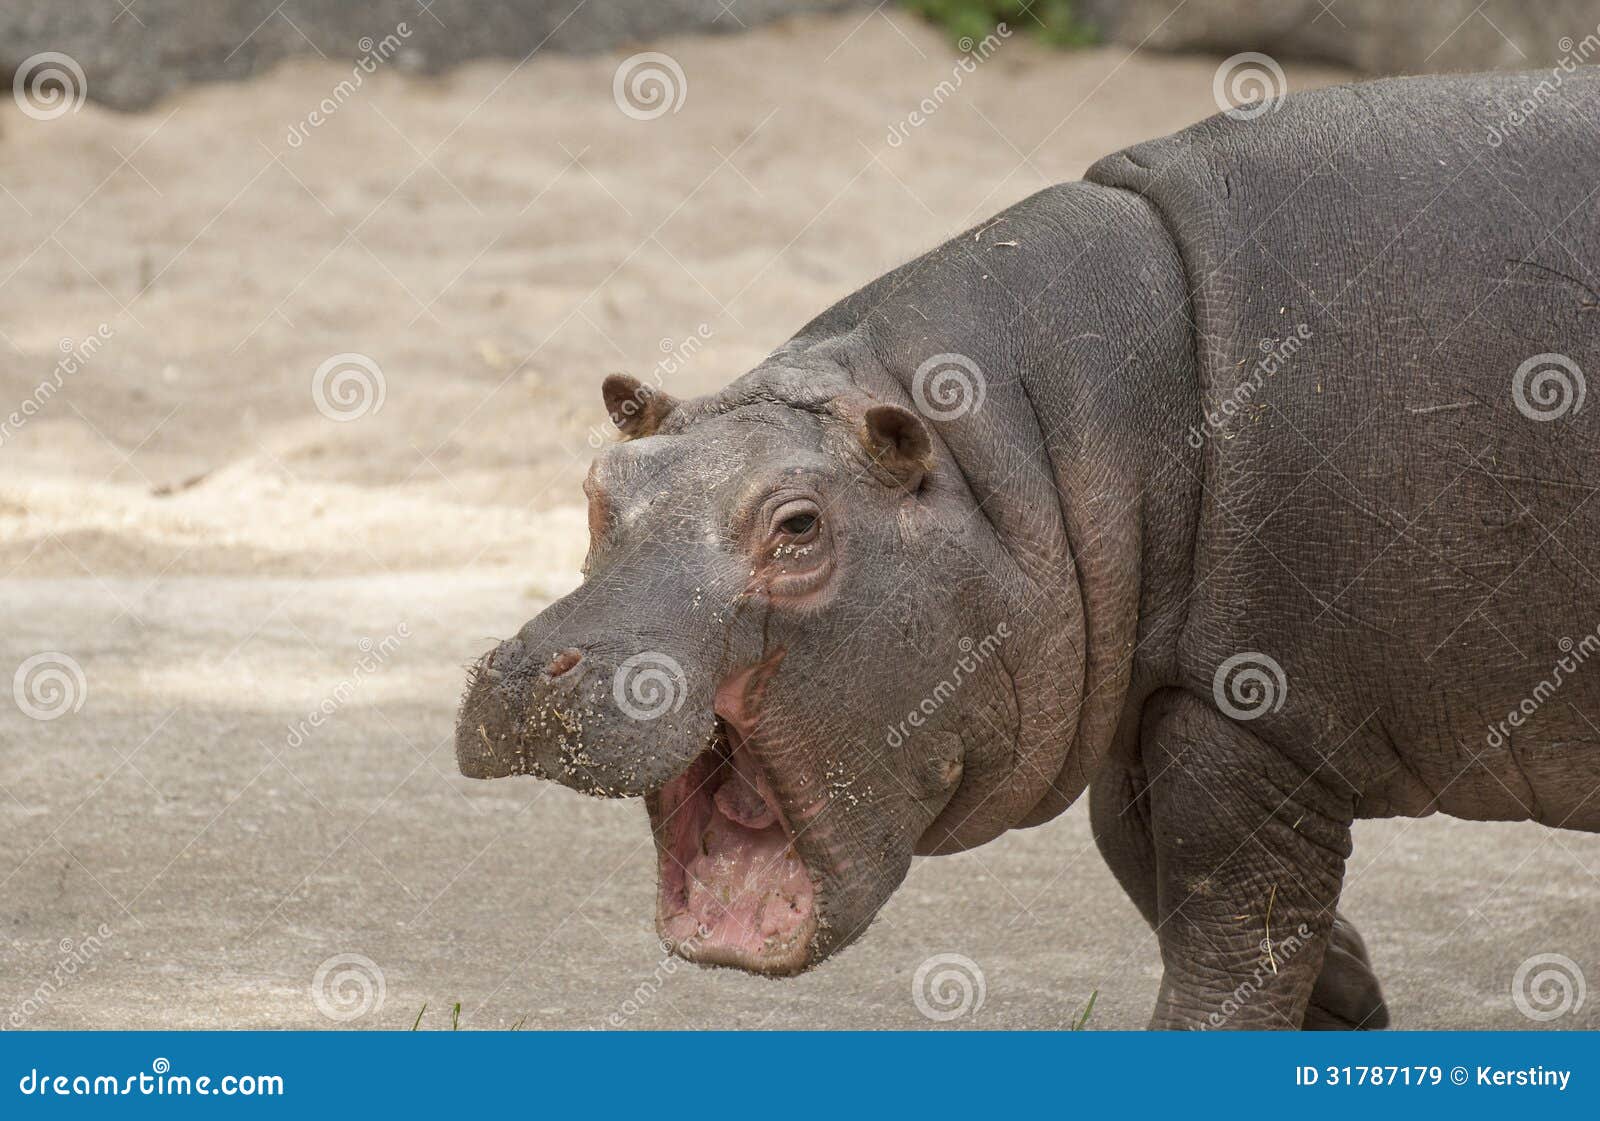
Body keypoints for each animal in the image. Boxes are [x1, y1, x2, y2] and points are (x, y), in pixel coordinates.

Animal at [456, 68, 1600, 1029]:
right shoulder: (1156, 694)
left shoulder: (1258, 710)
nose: (526, 672)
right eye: (602, 486)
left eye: (798, 525)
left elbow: (1232, 928)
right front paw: (1354, 994)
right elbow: (1140, 856)